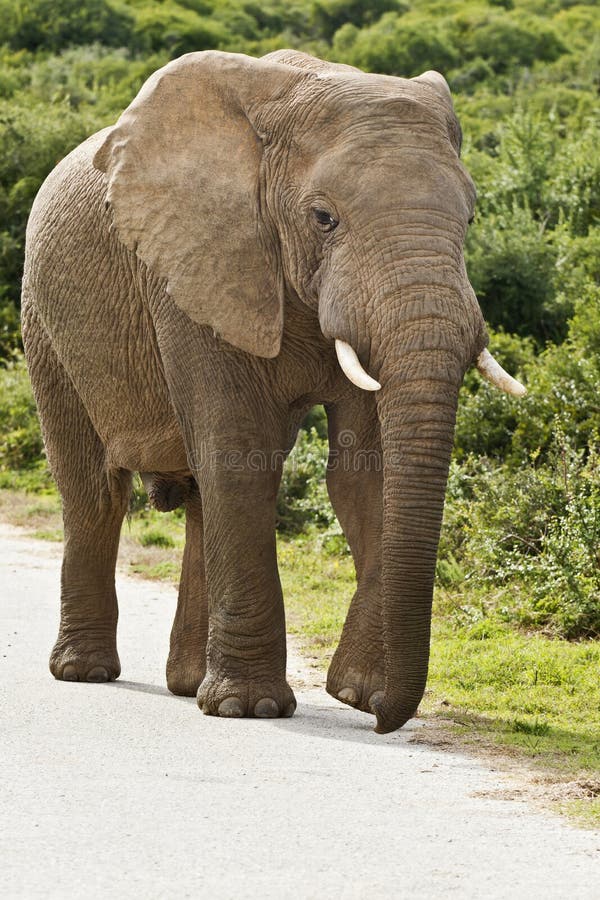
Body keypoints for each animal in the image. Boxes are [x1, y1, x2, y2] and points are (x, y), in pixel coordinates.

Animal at [21, 49, 525, 734]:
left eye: (470, 217)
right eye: (323, 217)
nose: (385, 721)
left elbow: (366, 471)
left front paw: (356, 691)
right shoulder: (196, 268)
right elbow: (241, 458)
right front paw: (251, 709)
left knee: (197, 500)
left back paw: (188, 684)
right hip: (45, 324)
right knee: (93, 491)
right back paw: (86, 672)